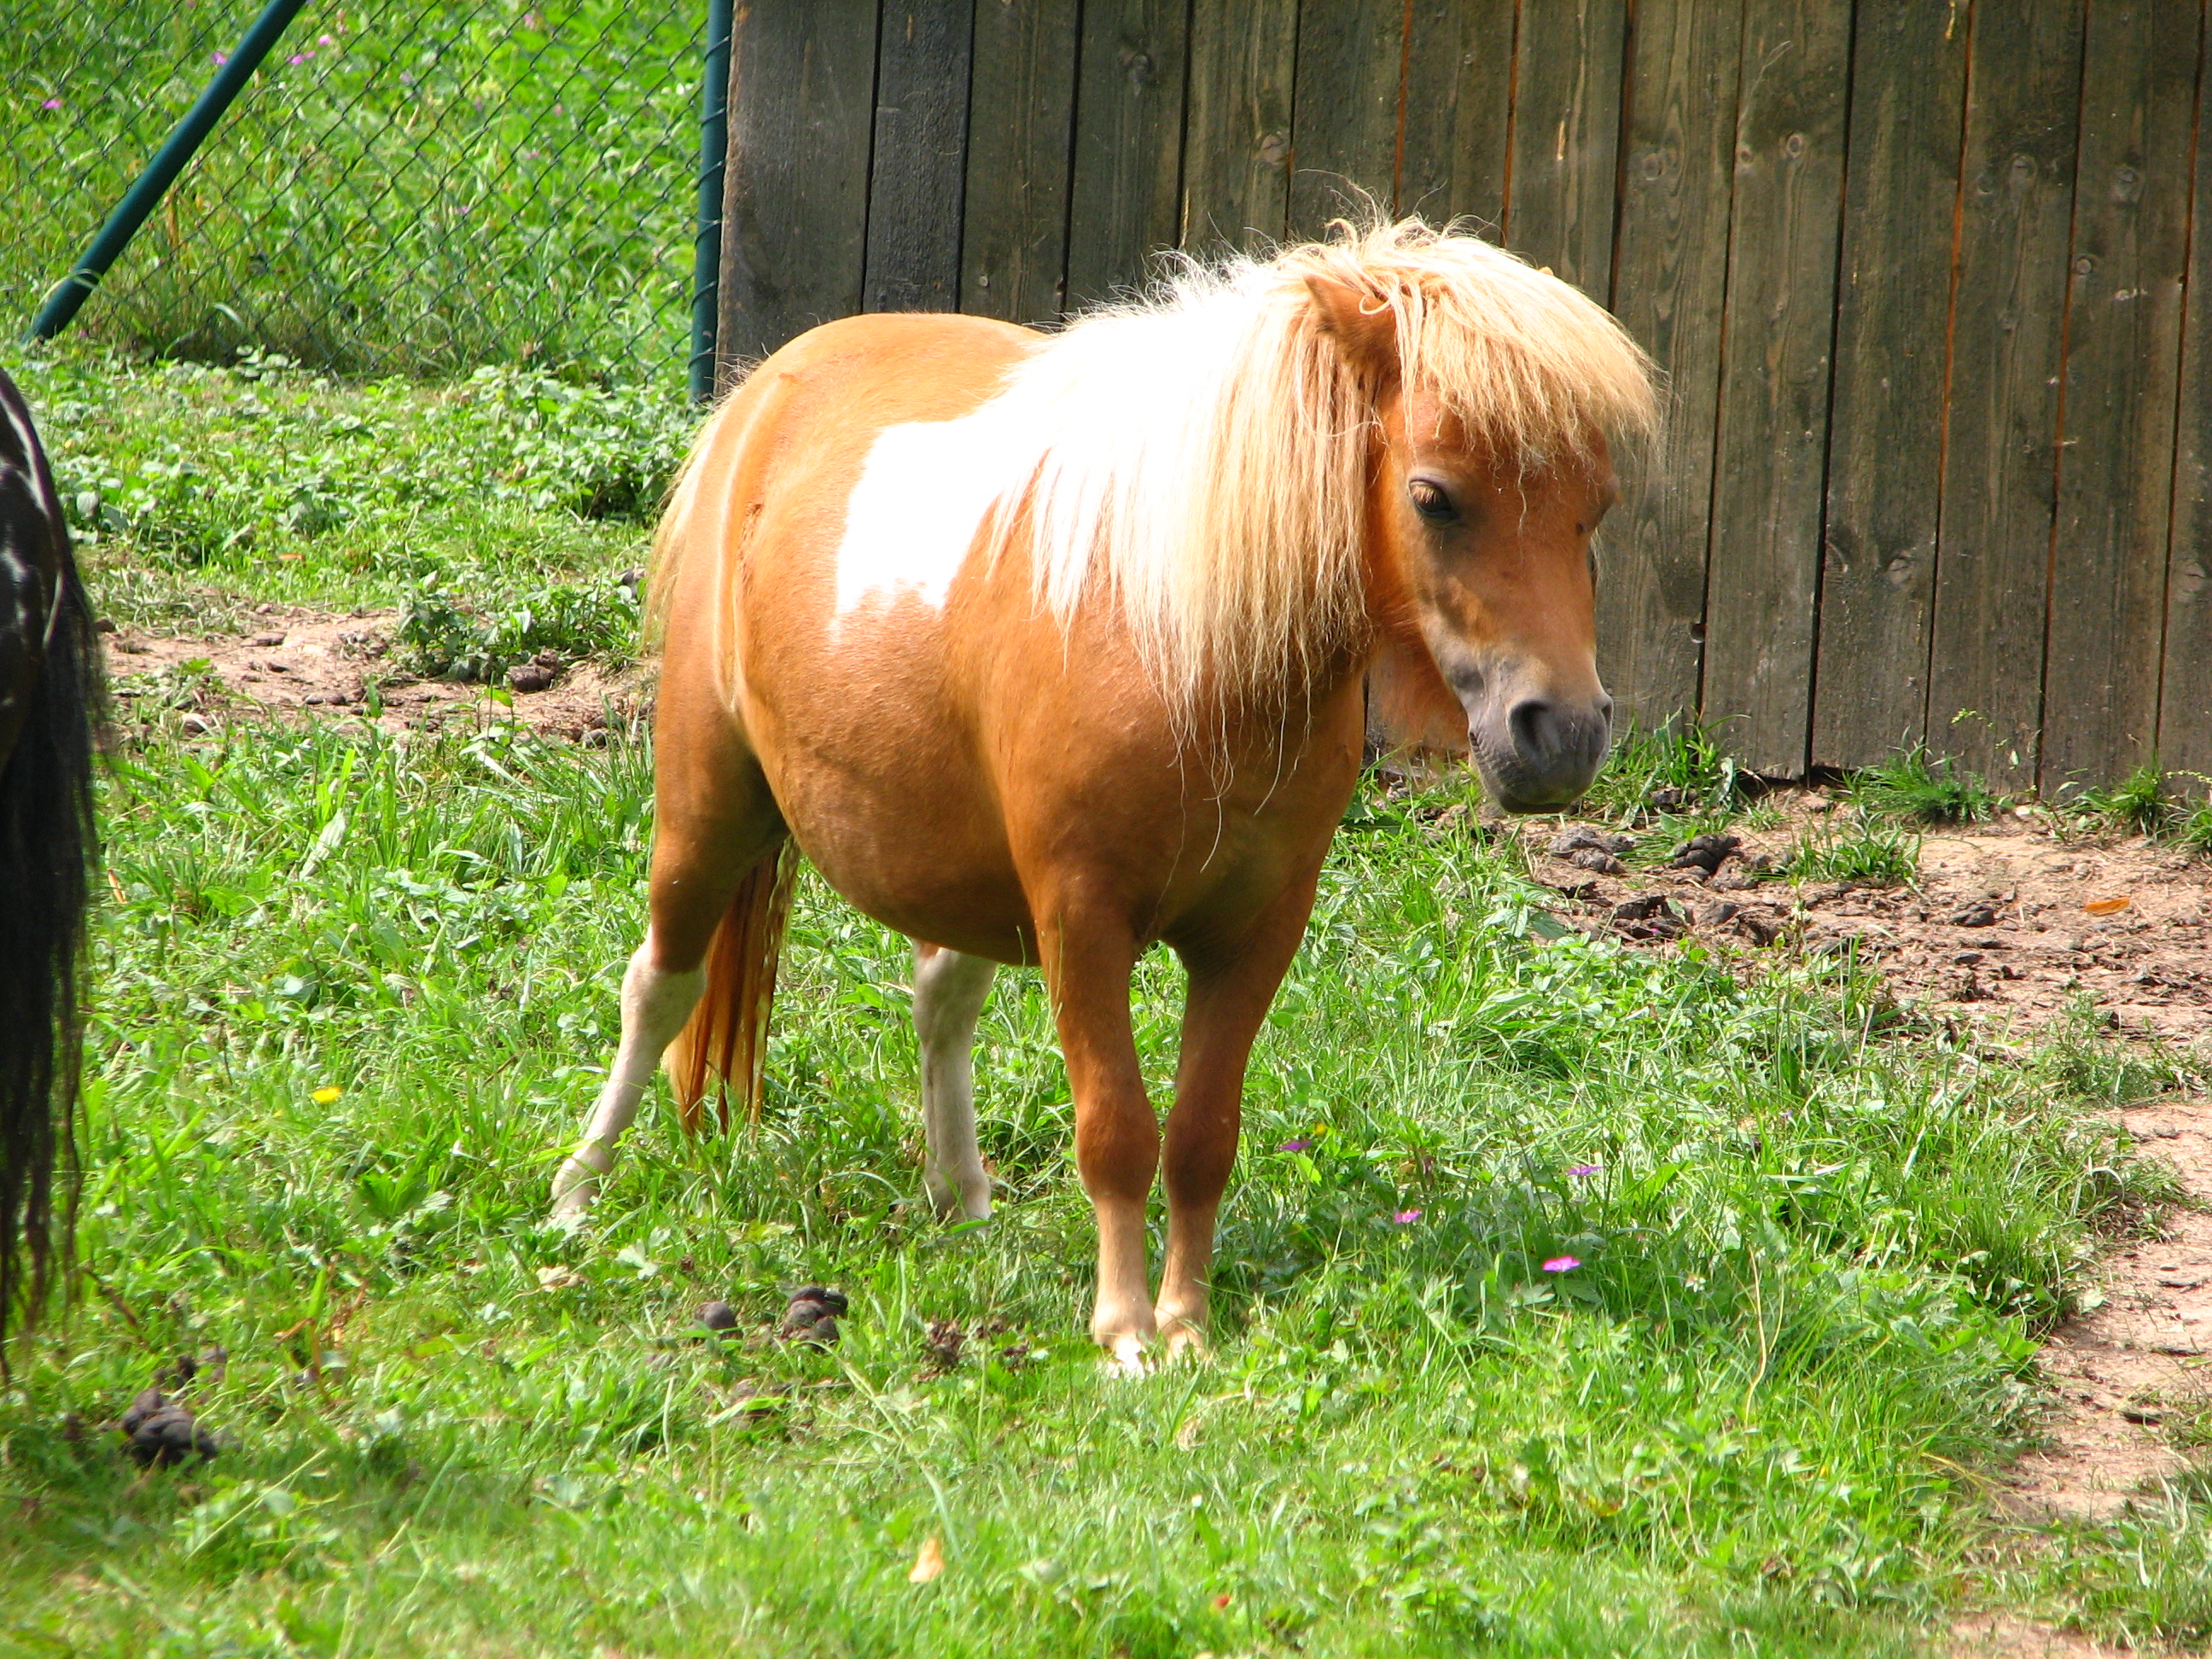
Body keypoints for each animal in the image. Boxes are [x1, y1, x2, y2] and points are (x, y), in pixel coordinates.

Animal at [550, 219, 1657, 1368]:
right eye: (1434, 496)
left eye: (1597, 508)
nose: (1563, 734)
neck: (1178, 641)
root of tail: (768, 389)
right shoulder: (1081, 919)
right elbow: (1118, 1130)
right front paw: (1125, 1333)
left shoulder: (1255, 934)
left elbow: (1203, 1134)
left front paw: (1189, 1325)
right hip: (708, 805)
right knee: (660, 982)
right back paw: (577, 1195)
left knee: (940, 998)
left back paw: (962, 1201)